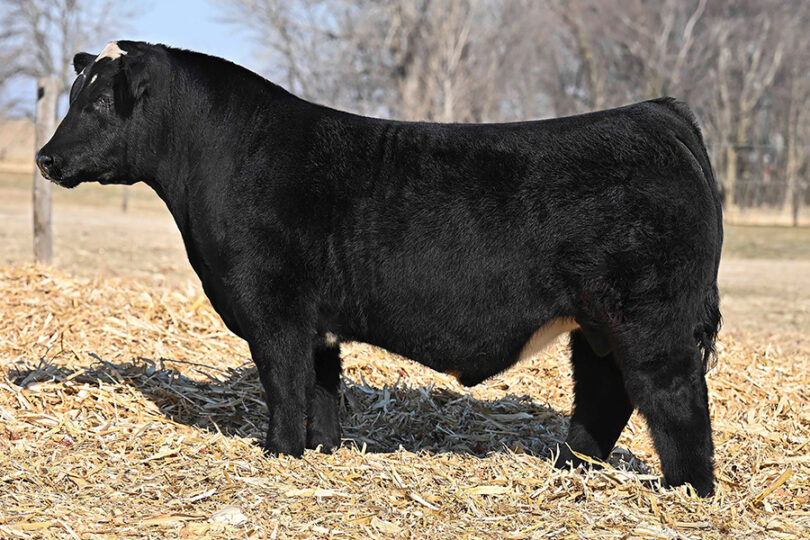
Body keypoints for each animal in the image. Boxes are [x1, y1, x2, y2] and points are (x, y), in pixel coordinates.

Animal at [36, 41, 723, 497]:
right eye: (72, 97)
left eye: (101, 102)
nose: (45, 158)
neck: (228, 157)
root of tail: (654, 112)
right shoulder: (316, 324)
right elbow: (320, 392)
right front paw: (320, 450)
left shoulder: (274, 314)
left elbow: (283, 388)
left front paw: (277, 453)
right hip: (598, 324)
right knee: (605, 392)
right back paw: (572, 466)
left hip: (650, 320)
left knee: (673, 395)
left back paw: (687, 491)